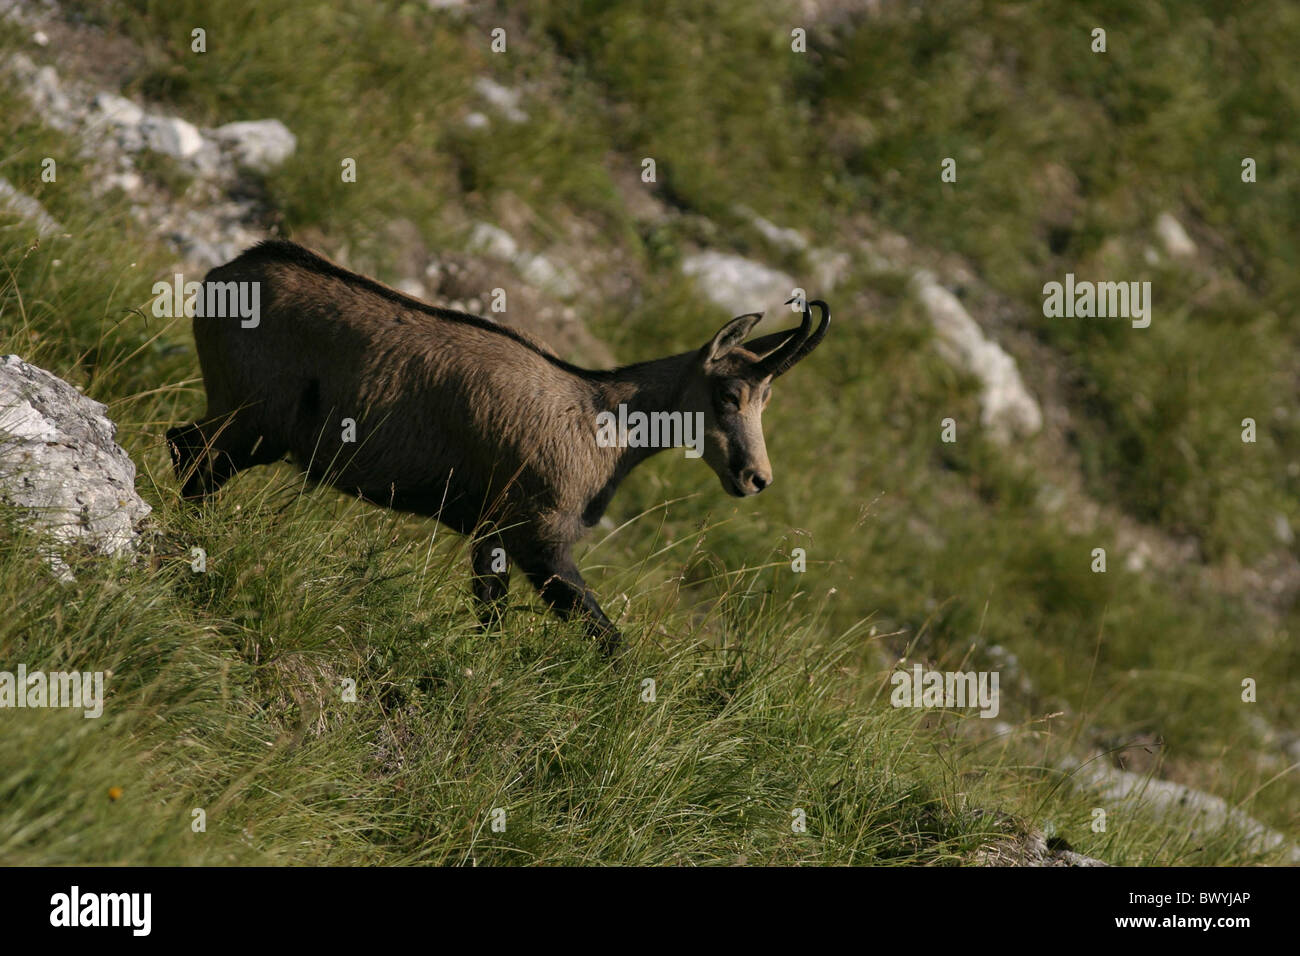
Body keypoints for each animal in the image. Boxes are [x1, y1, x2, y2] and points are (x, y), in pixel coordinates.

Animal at [167, 240, 830, 653]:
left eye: (766, 400)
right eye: (729, 394)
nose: (756, 478)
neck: (605, 418)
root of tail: (230, 271)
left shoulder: (493, 532)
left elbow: (492, 614)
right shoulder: (540, 537)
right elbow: (605, 636)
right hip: (253, 420)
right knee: (191, 453)